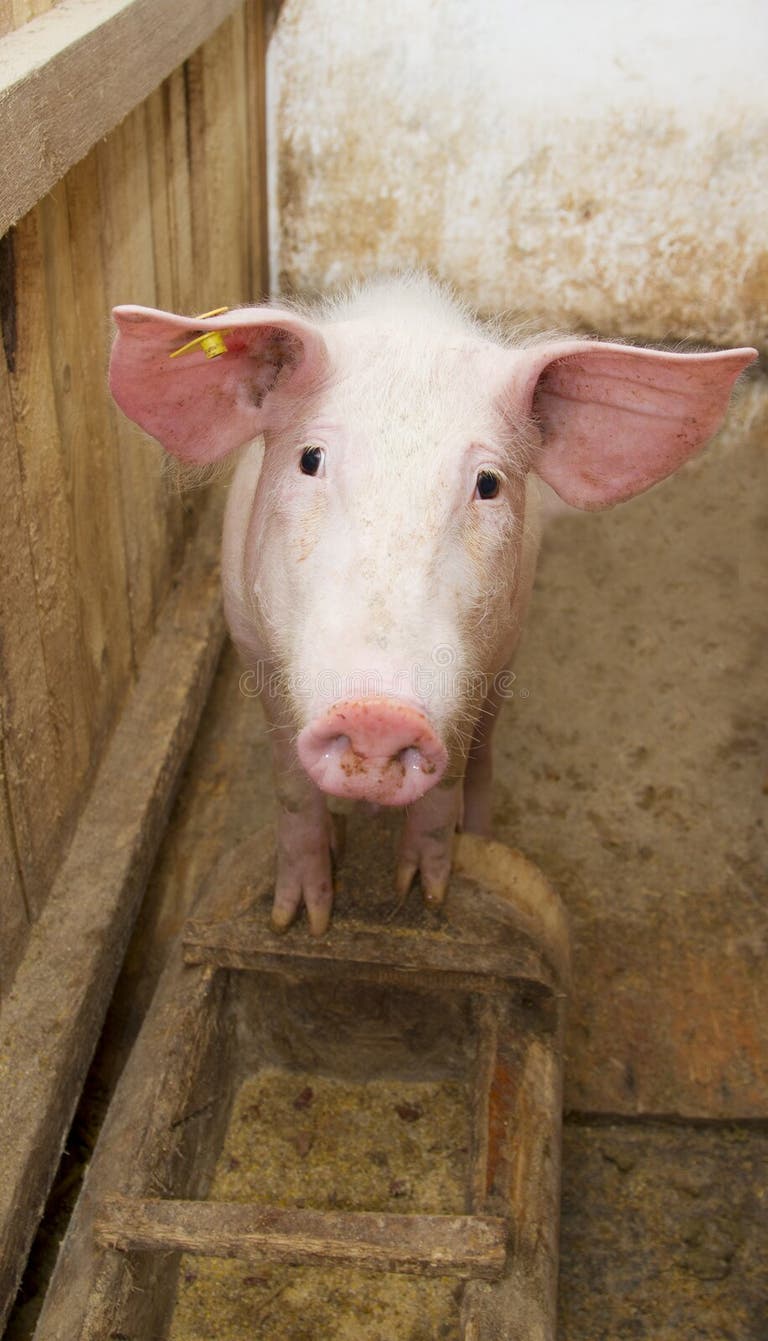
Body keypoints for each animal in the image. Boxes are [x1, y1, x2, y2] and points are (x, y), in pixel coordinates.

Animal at [109, 275, 756, 935]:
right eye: (310, 459)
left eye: (488, 484)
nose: (378, 714)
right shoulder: (253, 649)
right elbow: (290, 784)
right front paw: (300, 919)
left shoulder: (485, 660)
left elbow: (450, 778)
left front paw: (425, 895)